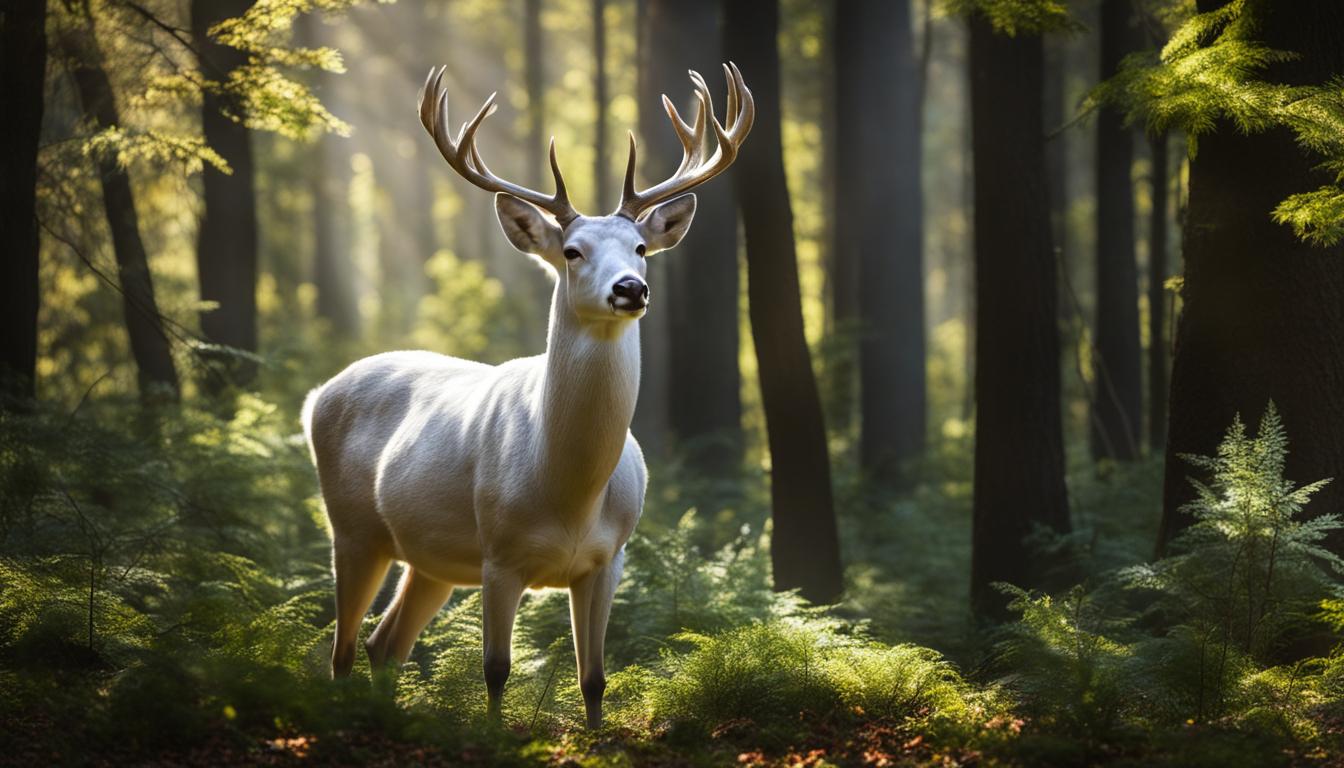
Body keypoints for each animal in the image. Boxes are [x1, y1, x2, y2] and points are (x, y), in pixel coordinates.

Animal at [301, 62, 753, 729]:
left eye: (641, 248)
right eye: (571, 251)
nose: (631, 288)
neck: (569, 493)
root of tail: (317, 395)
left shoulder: (609, 558)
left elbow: (594, 677)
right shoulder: (499, 554)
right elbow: (496, 669)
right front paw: (495, 735)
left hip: (432, 558)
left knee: (386, 643)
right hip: (352, 527)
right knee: (344, 648)